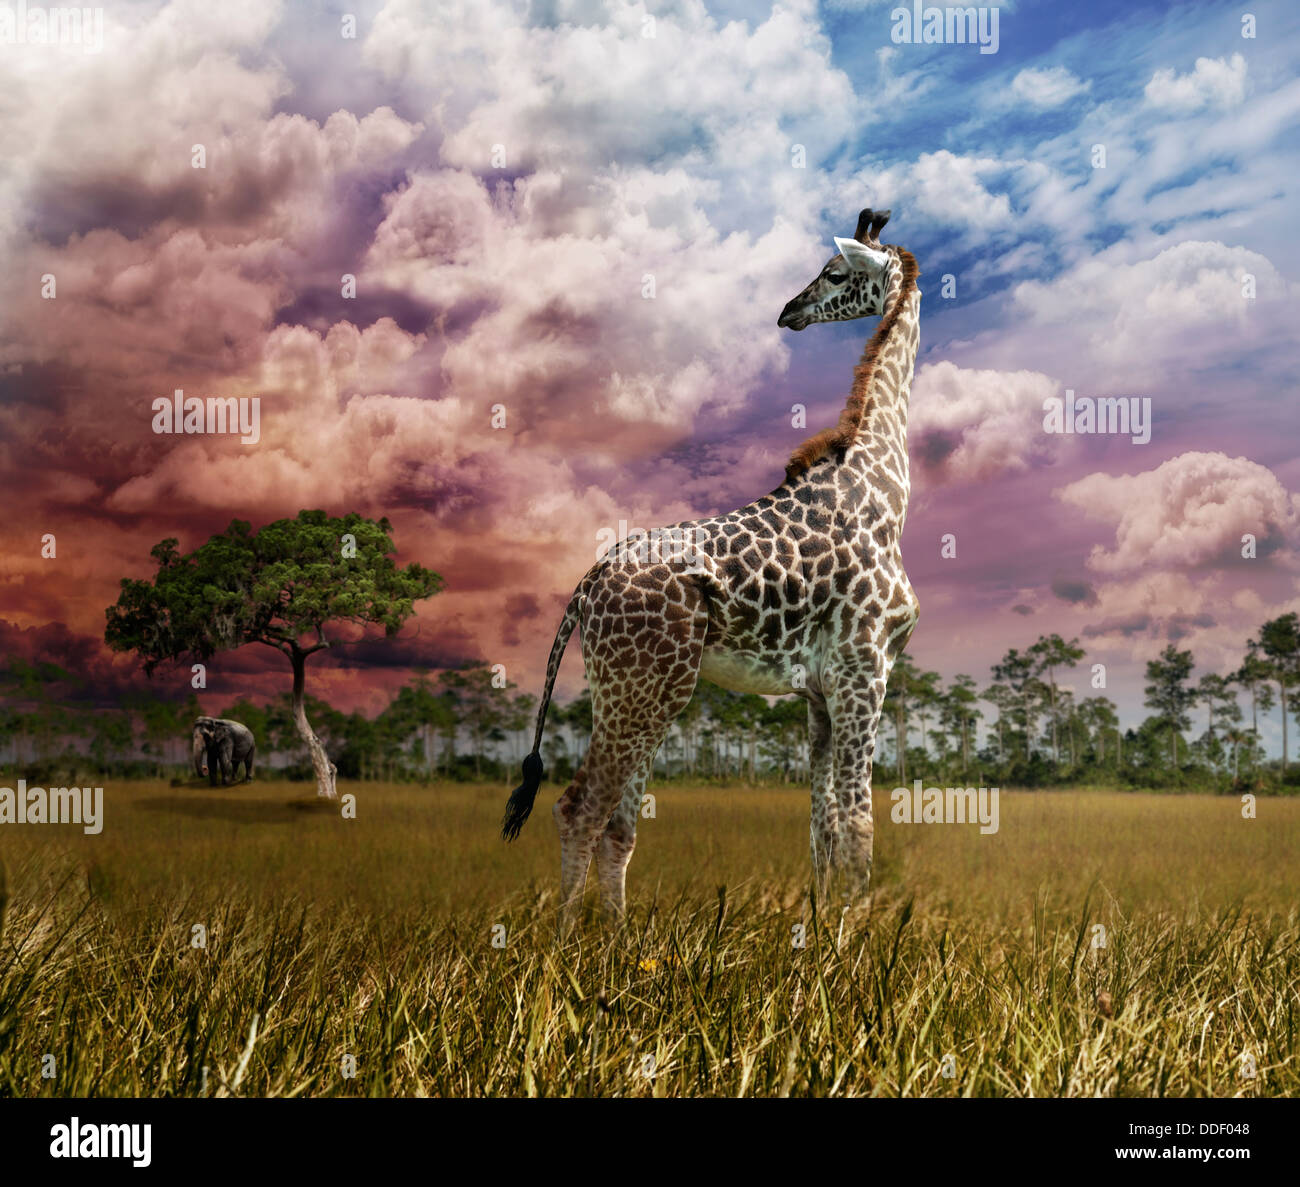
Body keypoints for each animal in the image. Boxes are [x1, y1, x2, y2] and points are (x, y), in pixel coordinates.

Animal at [502, 207, 922, 927]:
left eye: (835, 273)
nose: (788, 311)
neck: (884, 483)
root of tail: (587, 584)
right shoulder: (864, 669)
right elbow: (858, 827)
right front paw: (857, 945)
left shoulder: (821, 690)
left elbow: (824, 829)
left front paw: (824, 935)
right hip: (649, 687)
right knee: (577, 808)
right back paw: (566, 947)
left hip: (629, 690)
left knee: (616, 824)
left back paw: (617, 941)